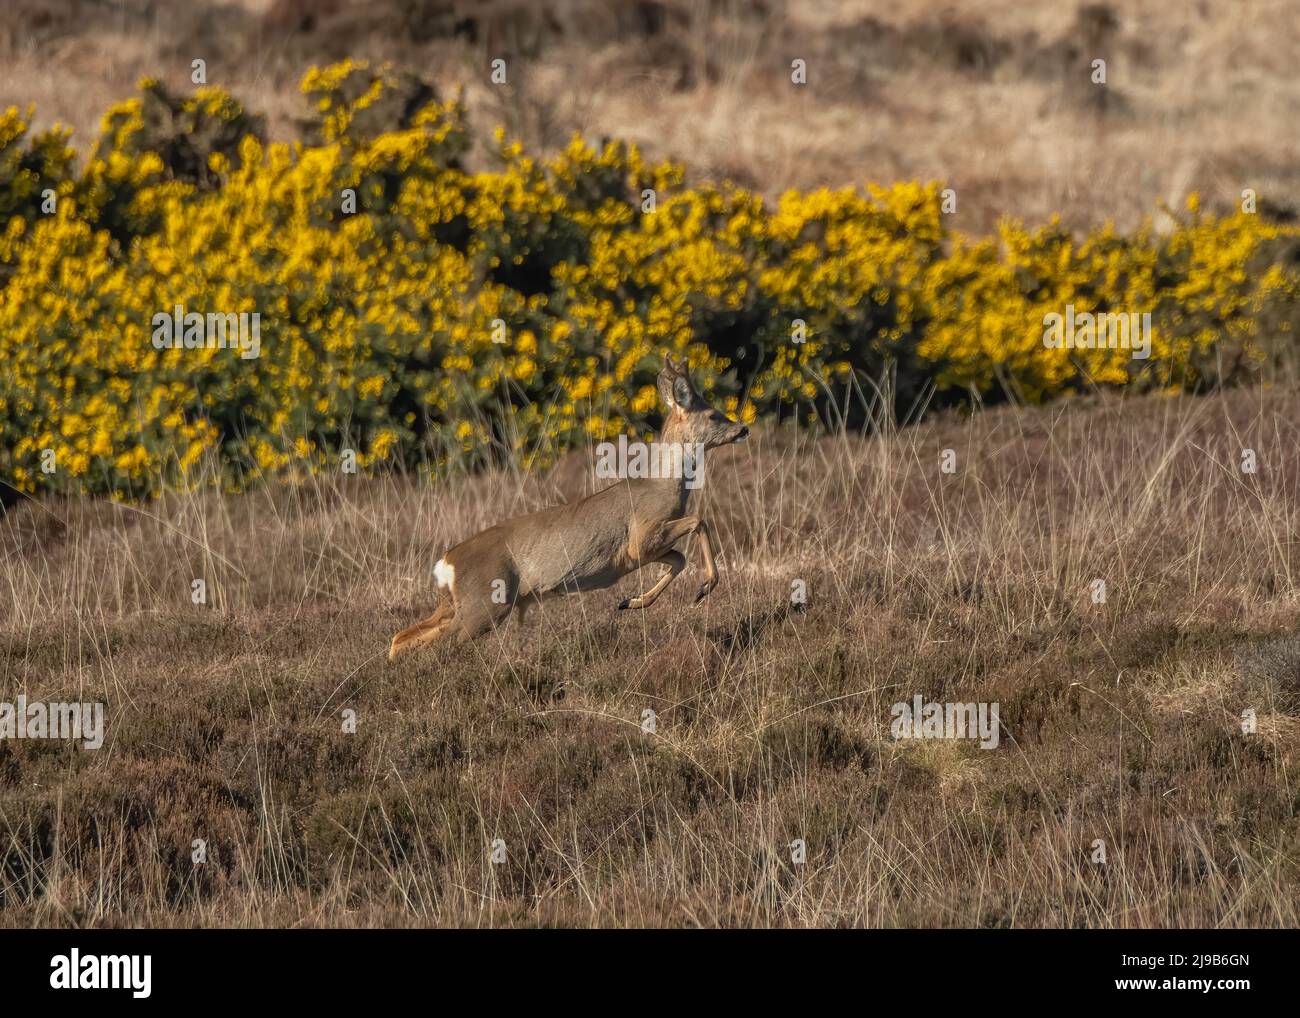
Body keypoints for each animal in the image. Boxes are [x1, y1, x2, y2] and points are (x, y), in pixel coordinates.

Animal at [388, 353, 749, 660]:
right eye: (713, 414)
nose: (743, 427)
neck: (664, 486)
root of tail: (445, 563)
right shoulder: (643, 537)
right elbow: (699, 521)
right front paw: (705, 587)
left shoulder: (640, 553)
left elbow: (679, 559)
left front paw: (631, 602)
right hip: (485, 604)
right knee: (442, 643)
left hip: (458, 604)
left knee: (401, 637)